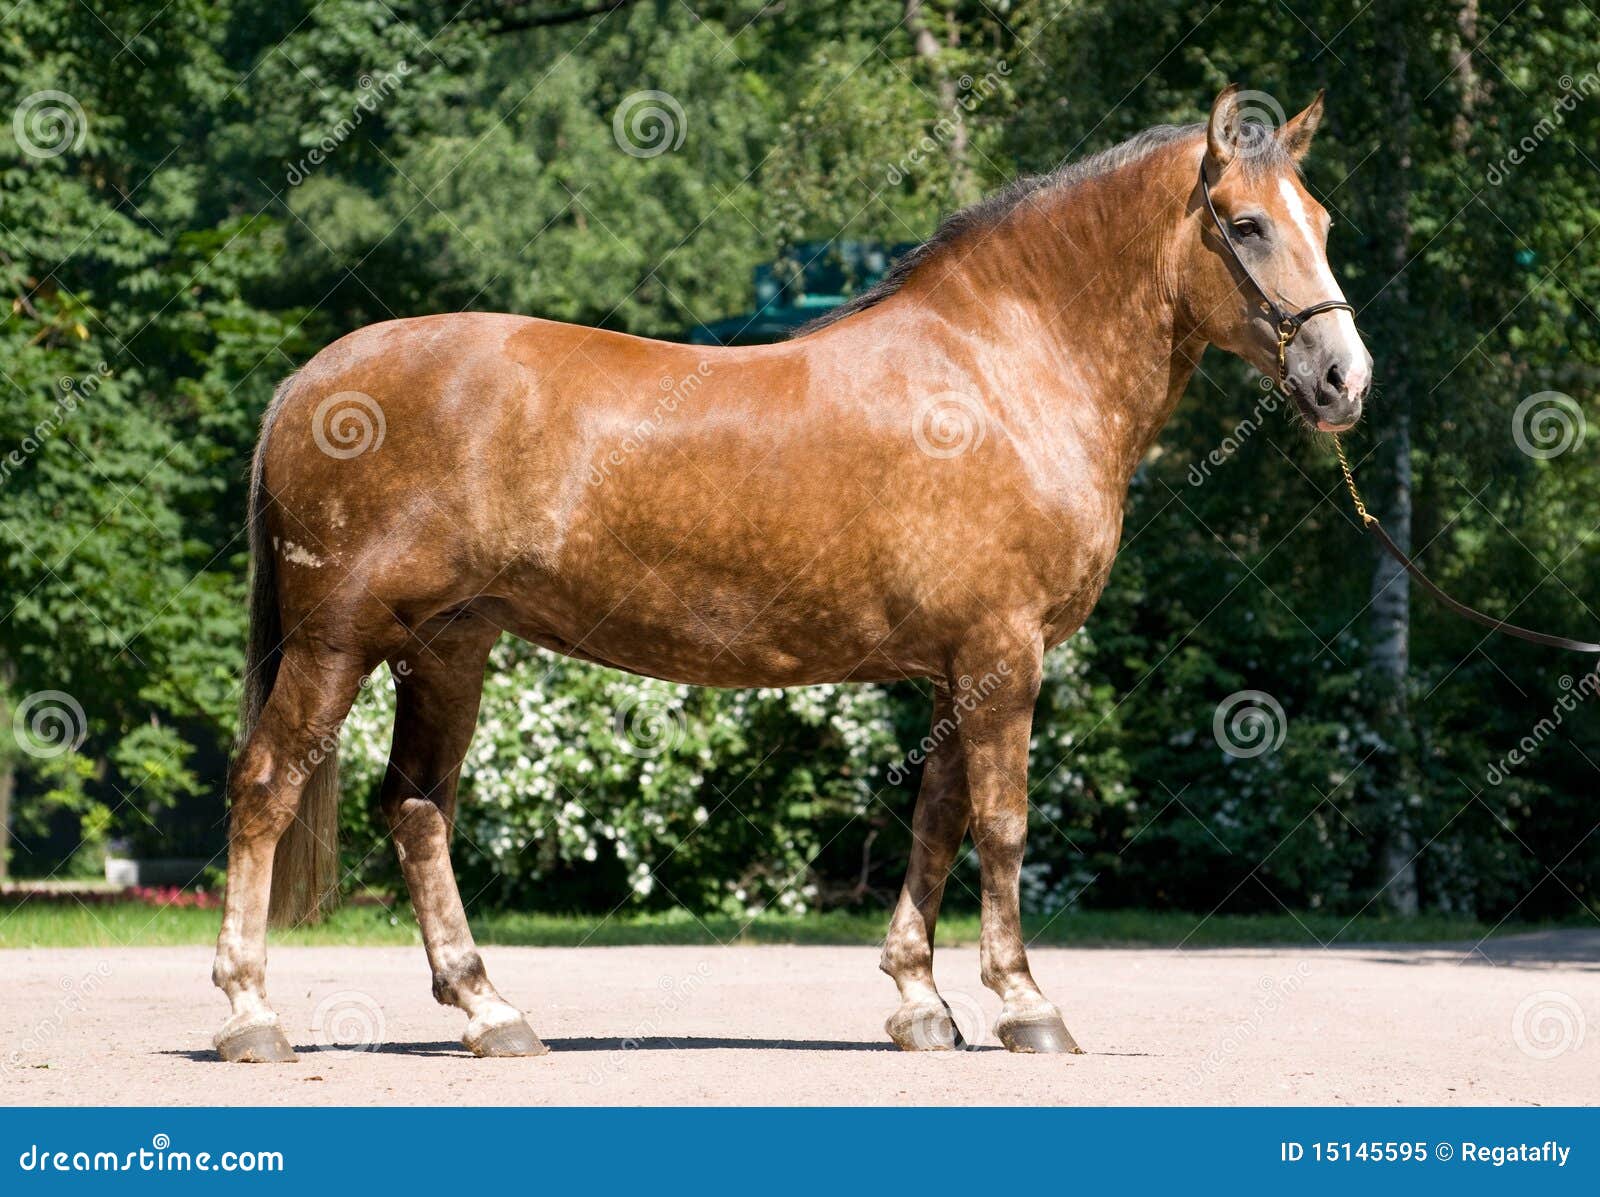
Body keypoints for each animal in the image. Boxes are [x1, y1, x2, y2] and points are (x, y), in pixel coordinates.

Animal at [211, 84, 1371, 1062]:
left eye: (1319, 220)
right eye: (1246, 224)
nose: (1343, 378)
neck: (1003, 370)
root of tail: (317, 378)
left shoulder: (957, 668)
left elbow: (937, 819)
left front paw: (920, 1002)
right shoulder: (1002, 654)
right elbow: (1002, 823)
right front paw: (1025, 1004)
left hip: (450, 646)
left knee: (417, 808)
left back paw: (491, 1012)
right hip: (339, 638)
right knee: (266, 787)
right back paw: (251, 1015)